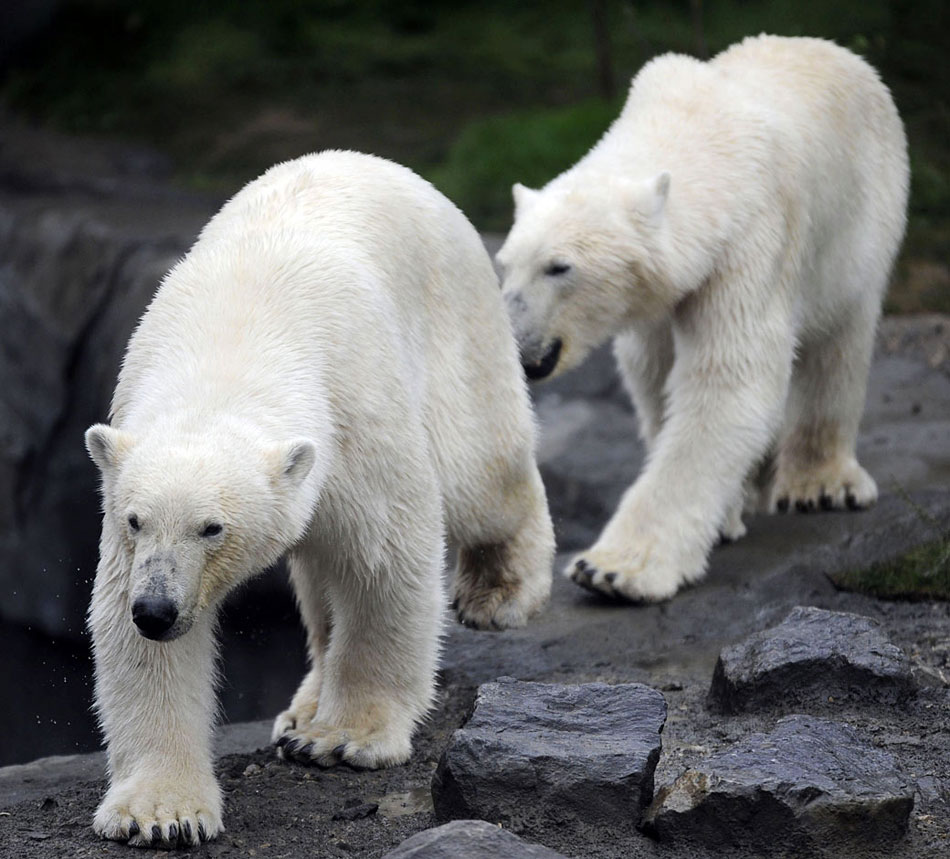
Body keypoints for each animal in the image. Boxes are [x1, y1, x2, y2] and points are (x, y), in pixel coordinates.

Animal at [84, 150, 554, 847]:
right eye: (137, 520)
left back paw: (501, 590)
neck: (232, 345)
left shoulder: (353, 410)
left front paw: (343, 739)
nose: (158, 611)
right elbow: (130, 633)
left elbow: (383, 561)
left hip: (455, 323)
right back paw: (301, 708)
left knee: (481, 469)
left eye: (211, 528)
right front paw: (161, 813)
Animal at [497, 35, 908, 603]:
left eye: (558, 267)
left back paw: (821, 484)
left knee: (838, 341)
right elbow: (653, 375)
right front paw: (724, 515)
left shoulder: (753, 240)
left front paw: (611, 571)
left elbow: (729, 382)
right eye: (504, 265)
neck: (700, 131)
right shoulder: (658, 295)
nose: (518, 349)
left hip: (859, 218)